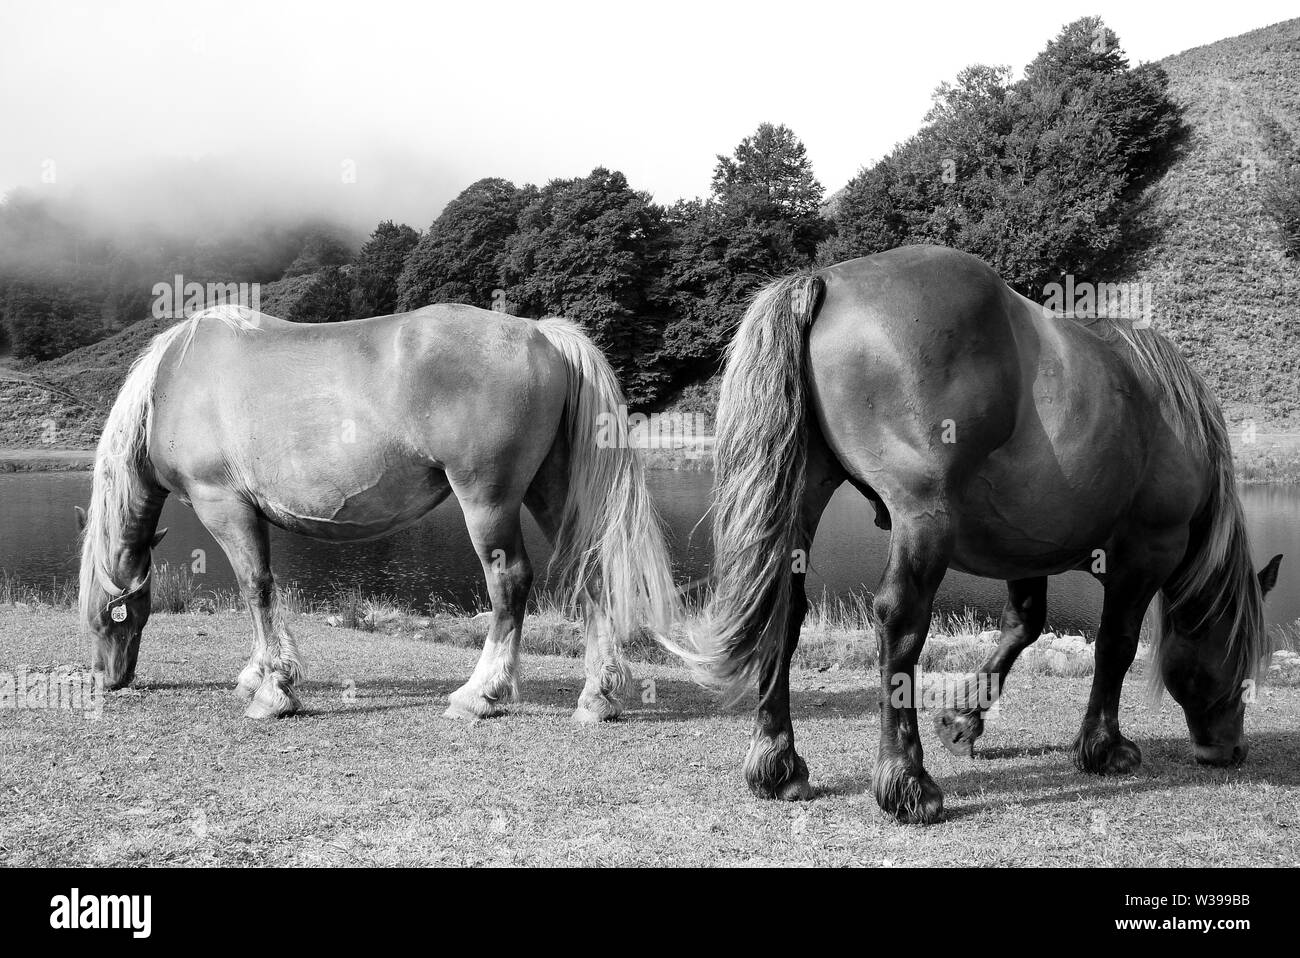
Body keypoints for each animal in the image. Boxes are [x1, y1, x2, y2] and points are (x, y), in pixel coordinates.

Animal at [76, 303, 687, 723]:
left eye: (108, 616)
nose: (109, 679)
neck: (174, 382)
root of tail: (541, 335)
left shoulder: (223, 505)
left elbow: (257, 588)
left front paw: (274, 689)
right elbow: (260, 592)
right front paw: (257, 675)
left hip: (487, 500)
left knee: (510, 581)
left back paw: (480, 693)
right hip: (550, 493)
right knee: (592, 573)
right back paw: (597, 697)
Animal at [698, 244, 1285, 824]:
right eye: (1244, 654)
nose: (1231, 749)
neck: (1169, 417)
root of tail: (826, 280)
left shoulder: (1028, 549)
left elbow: (1022, 628)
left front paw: (962, 720)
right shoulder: (1145, 554)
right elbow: (1115, 646)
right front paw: (1103, 746)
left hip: (804, 495)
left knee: (784, 608)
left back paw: (778, 765)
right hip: (923, 517)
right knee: (900, 623)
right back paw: (906, 781)